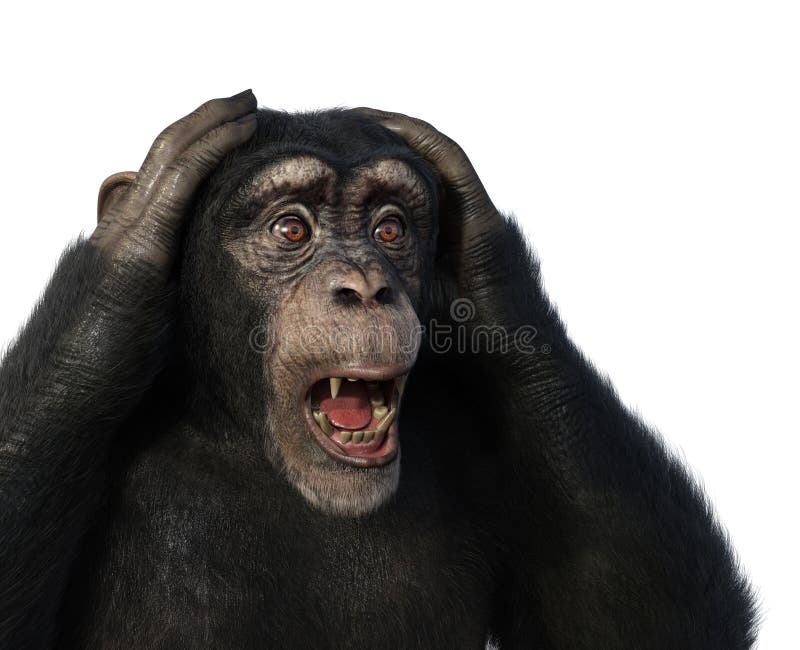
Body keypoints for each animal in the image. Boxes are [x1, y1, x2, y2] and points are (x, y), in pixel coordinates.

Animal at [0, 91, 758, 648]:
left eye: (390, 228)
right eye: (291, 229)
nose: (365, 285)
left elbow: (637, 629)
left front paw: (479, 239)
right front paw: (135, 234)